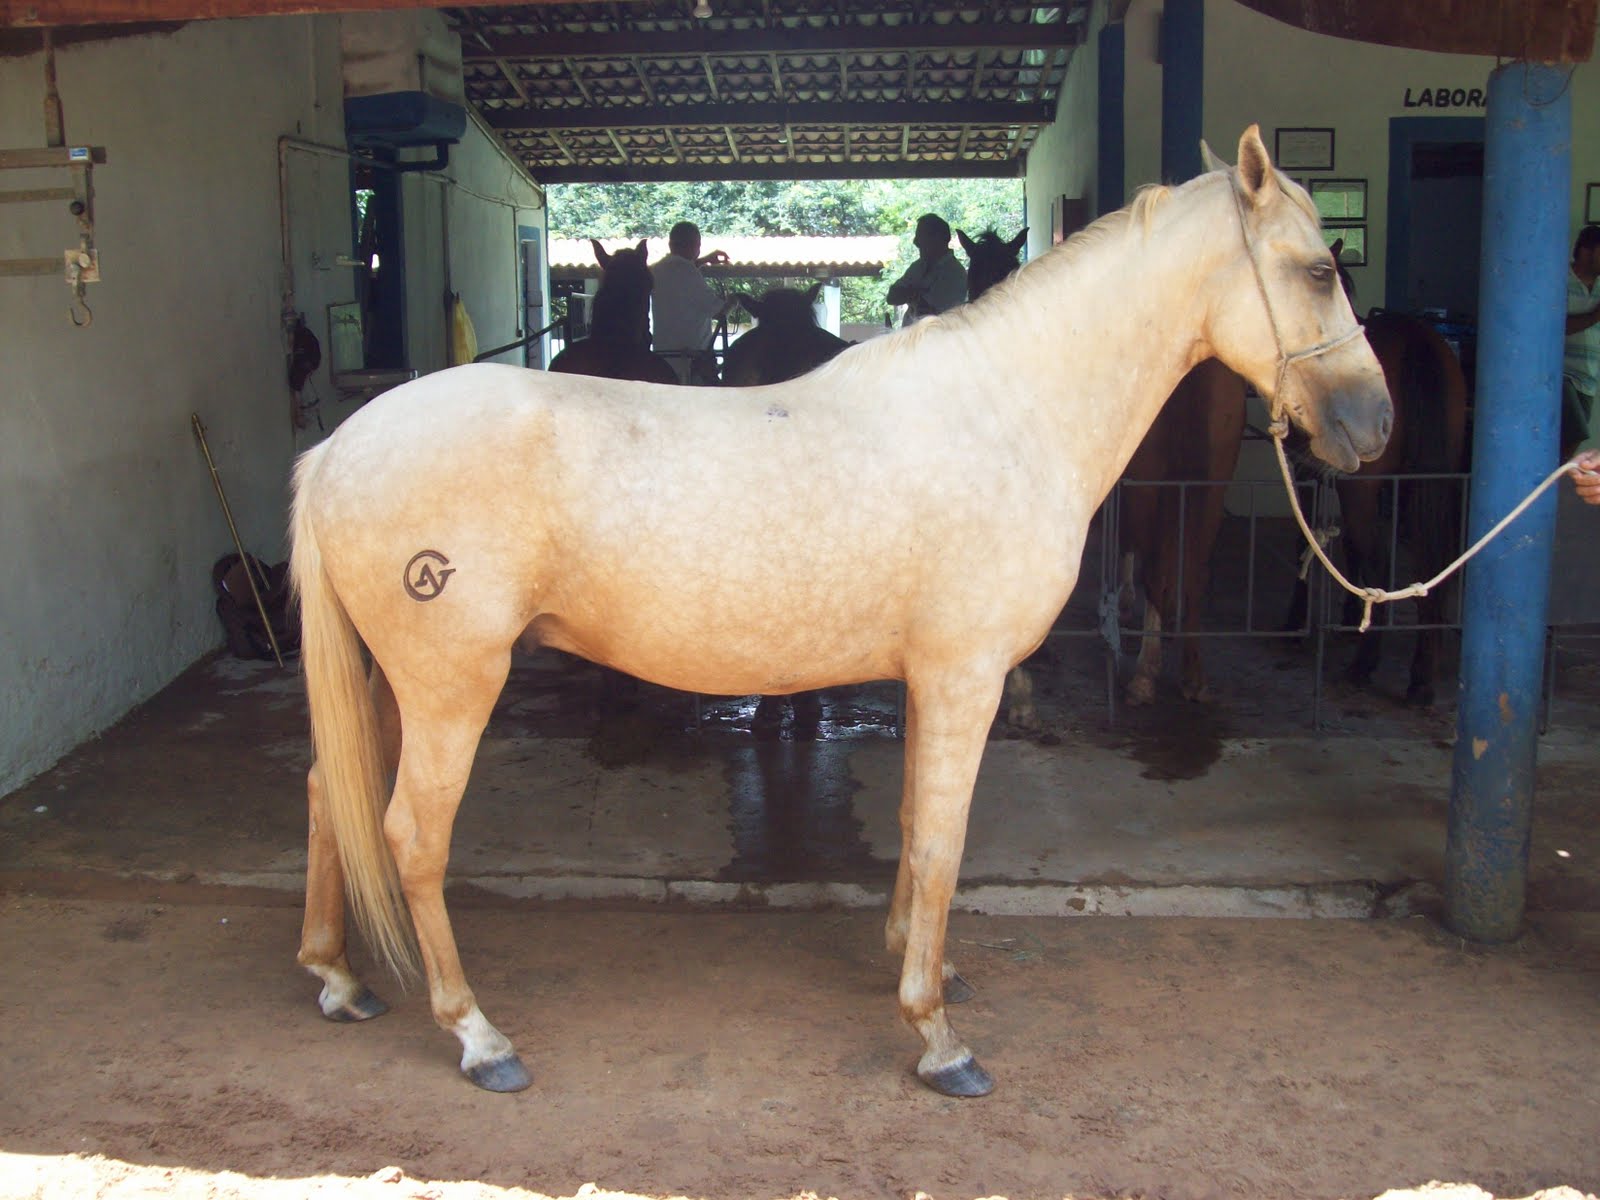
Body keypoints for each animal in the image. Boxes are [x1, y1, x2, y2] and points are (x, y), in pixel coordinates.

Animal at [1284, 239, 1468, 705]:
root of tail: (1417, 342)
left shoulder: (1308, 472)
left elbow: (1309, 539)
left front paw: (1297, 622)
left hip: (1367, 485)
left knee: (1378, 556)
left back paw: (1365, 664)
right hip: (1430, 480)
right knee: (1429, 556)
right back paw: (1421, 672)